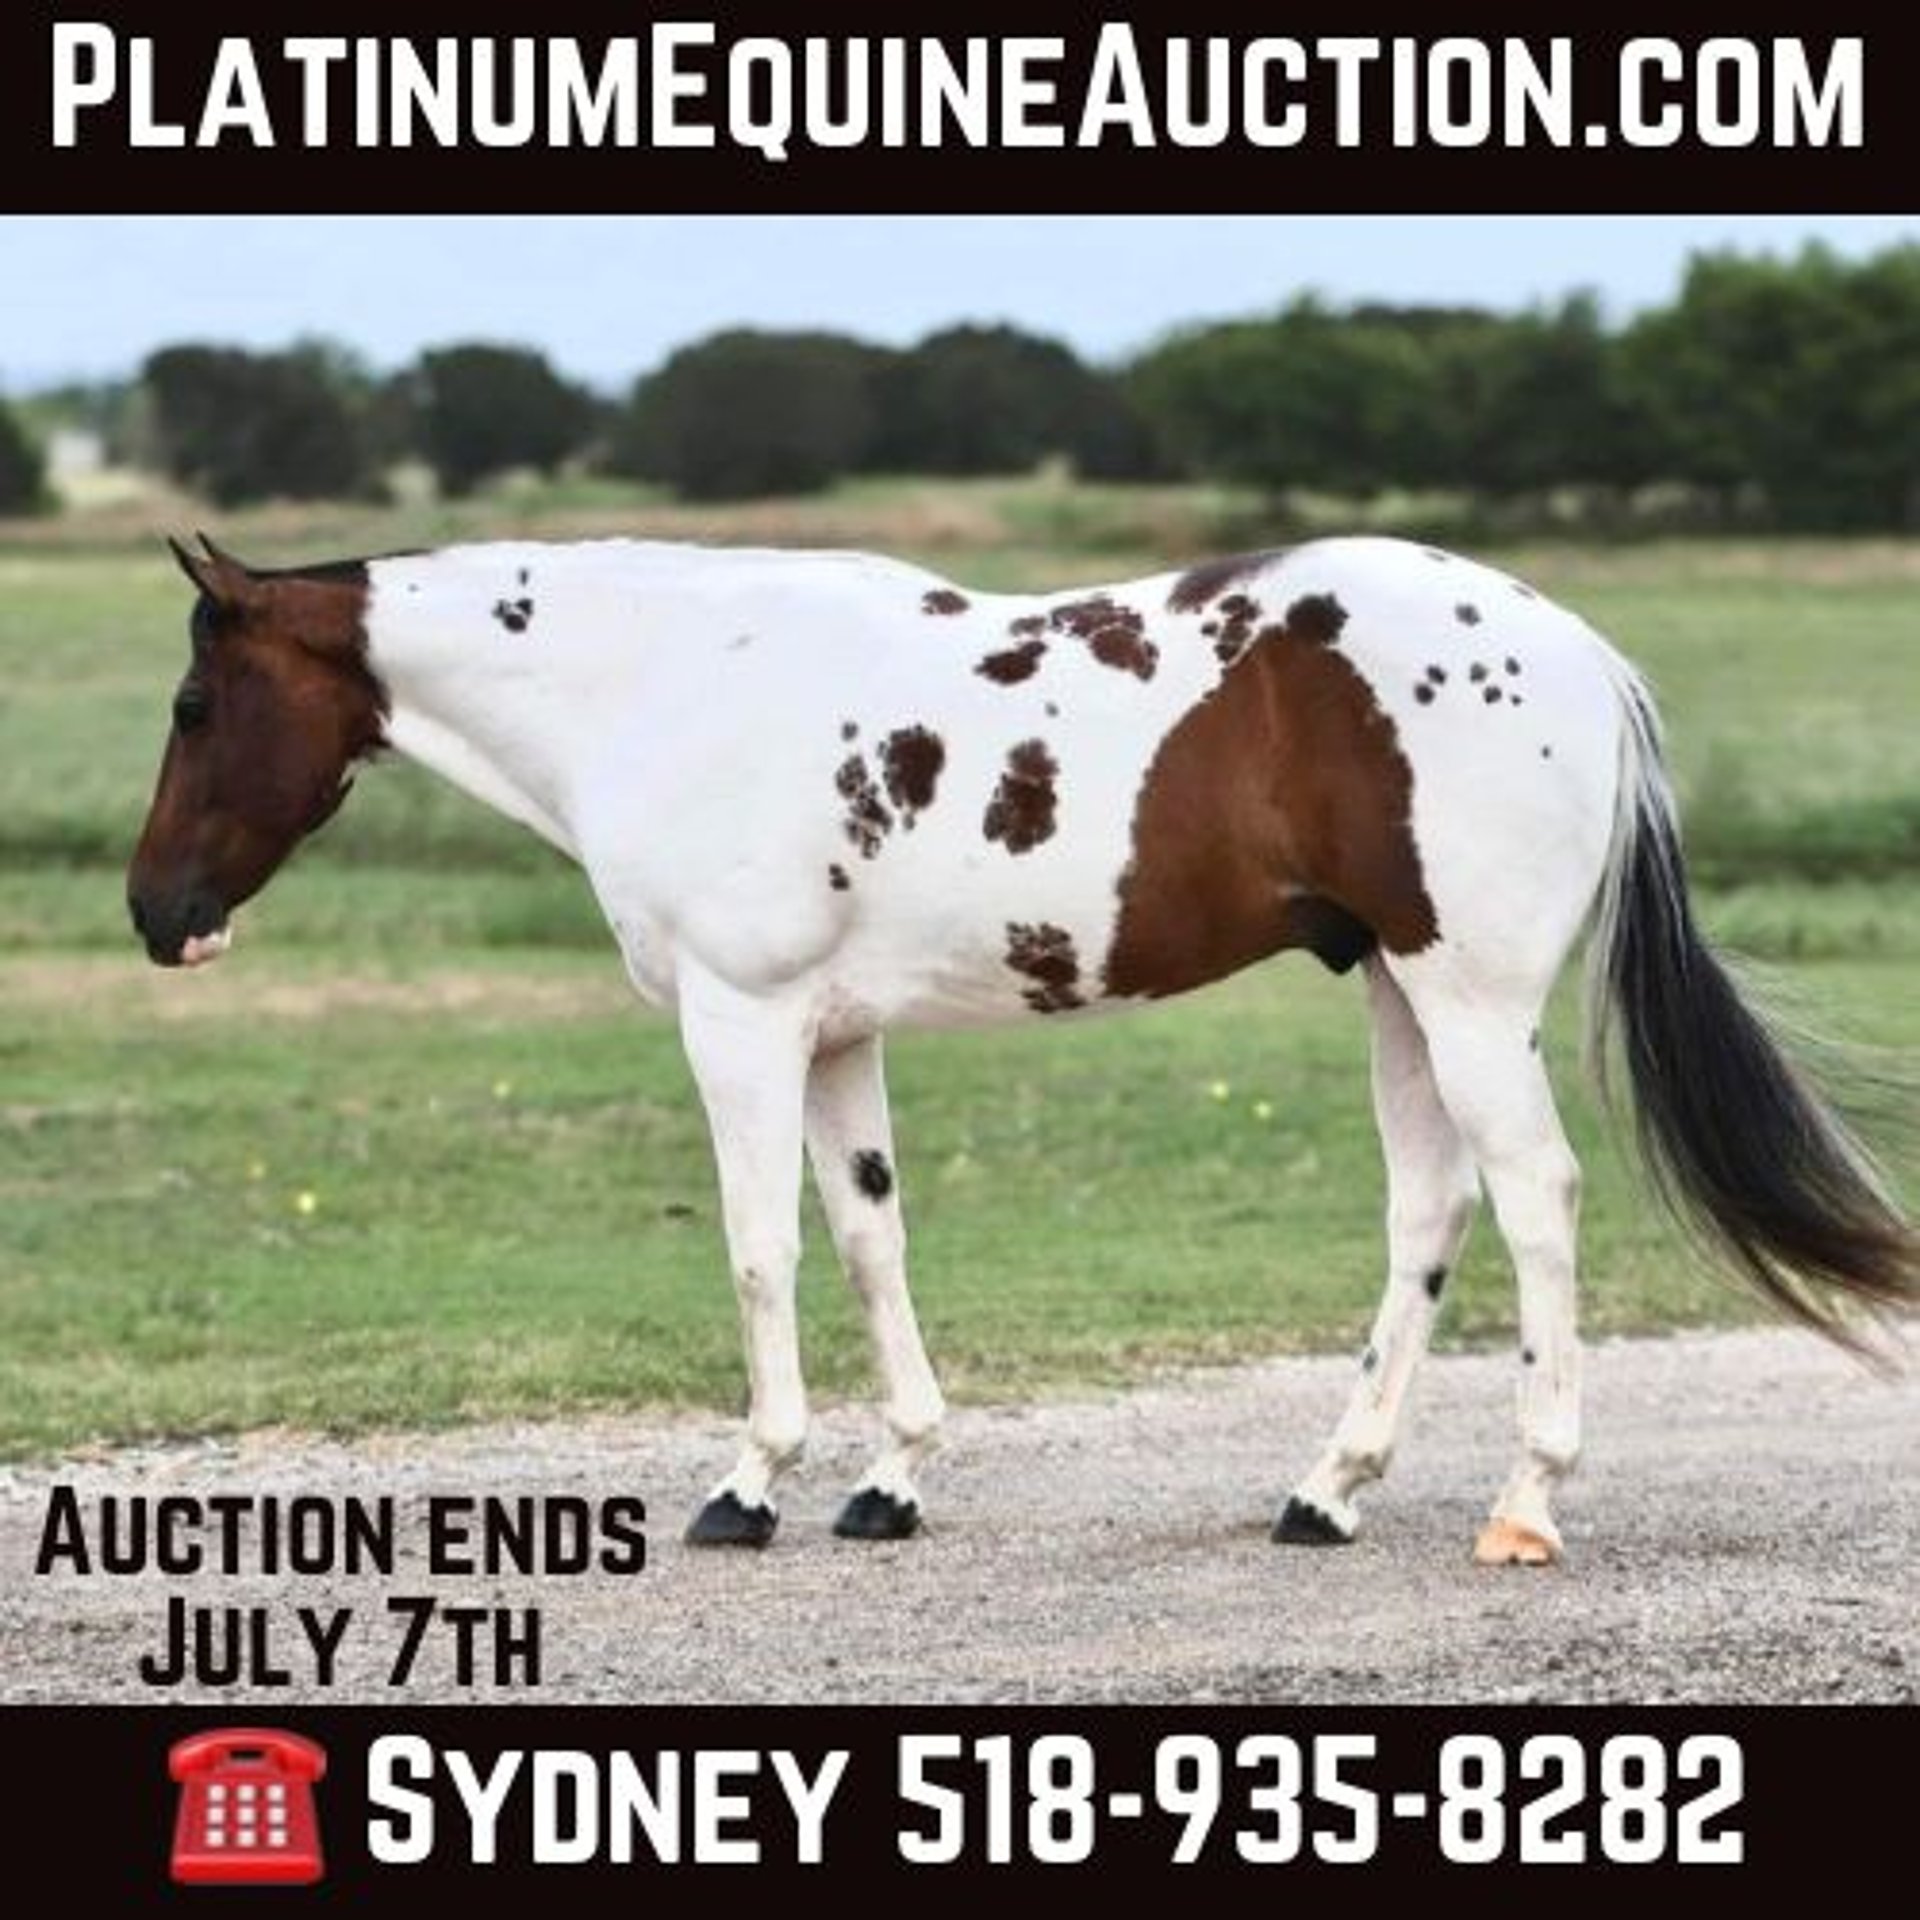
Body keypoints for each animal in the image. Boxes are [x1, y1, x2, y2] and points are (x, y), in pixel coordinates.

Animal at [128, 532, 1917, 1564]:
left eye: (195, 707)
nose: (159, 914)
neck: (669, 681)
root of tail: (1580, 656)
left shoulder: (740, 1022)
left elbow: (762, 1251)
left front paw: (751, 1484)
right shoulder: (833, 1037)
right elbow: (869, 1240)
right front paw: (892, 1477)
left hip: (1466, 996)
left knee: (1535, 1199)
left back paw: (1525, 1503)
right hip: (1400, 996)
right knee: (1431, 1212)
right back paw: (1327, 1489)